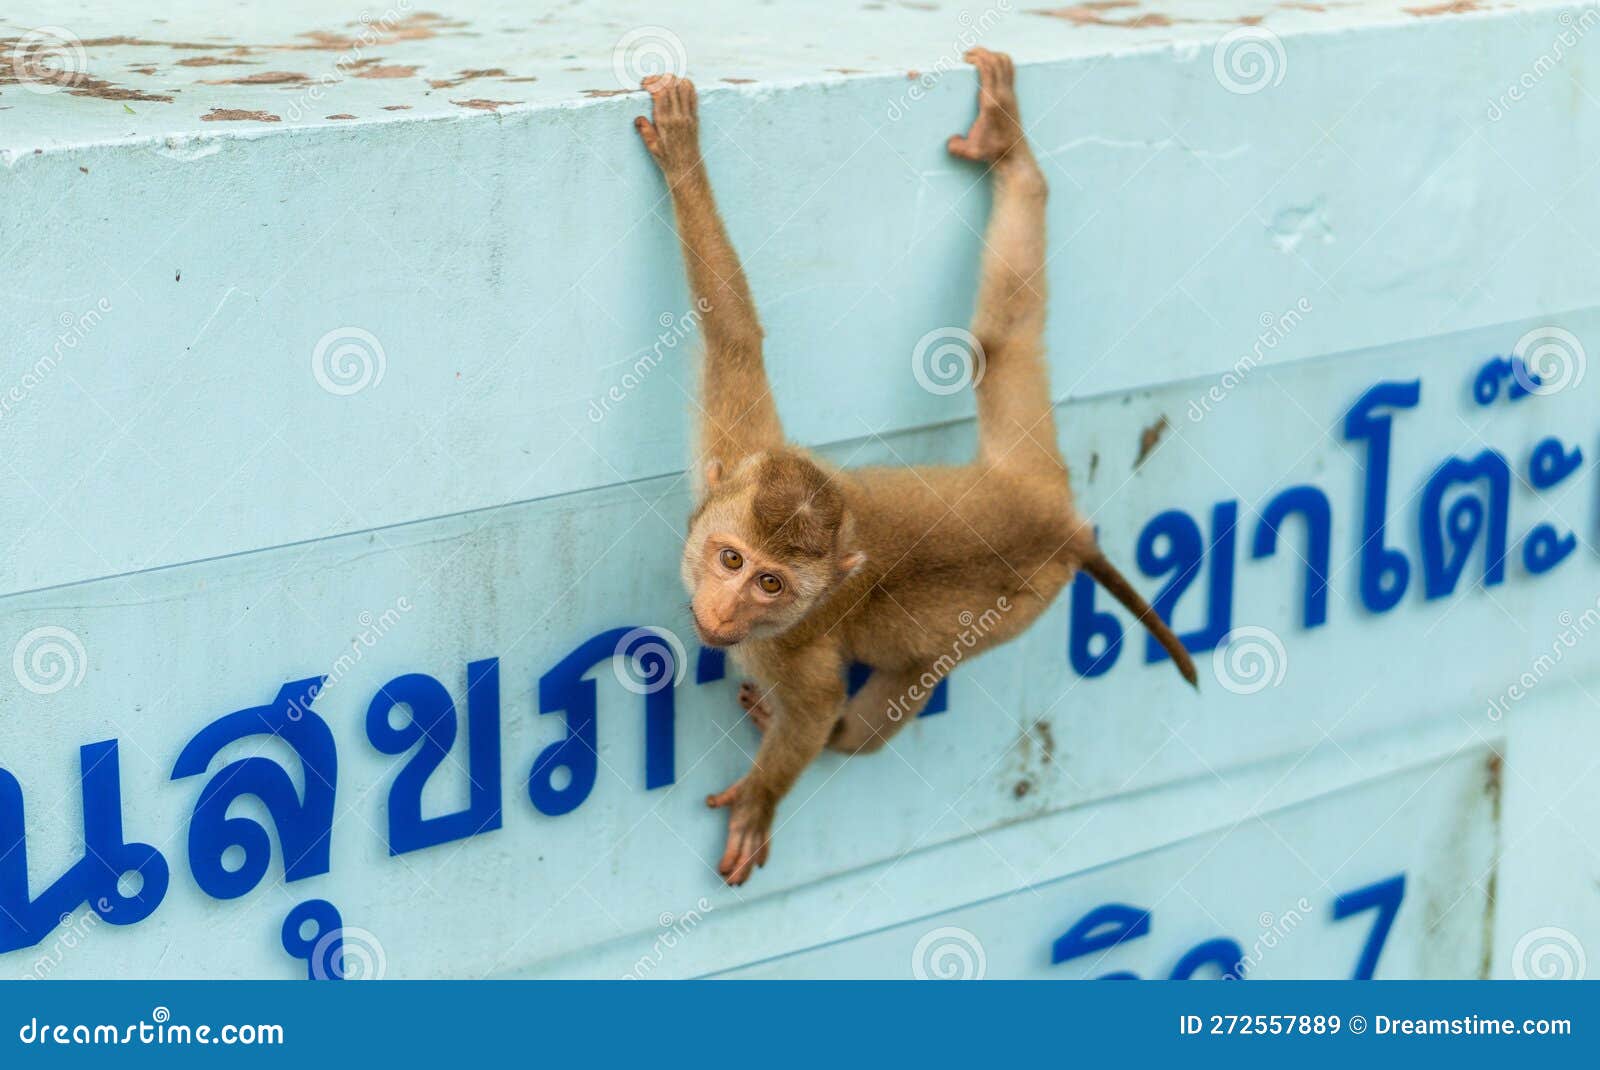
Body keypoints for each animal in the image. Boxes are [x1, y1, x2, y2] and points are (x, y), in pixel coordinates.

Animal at [634, 49, 1195, 887]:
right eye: (729, 559)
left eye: (770, 584)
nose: (724, 609)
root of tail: (1060, 523)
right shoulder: (738, 455)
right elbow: (732, 331)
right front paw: (683, 157)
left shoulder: (787, 647)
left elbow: (816, 712)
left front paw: (762, 798)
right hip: (1026, 456)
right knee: (1003, 336)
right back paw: (1014, 160)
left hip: (1020, 606)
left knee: (867, 725)